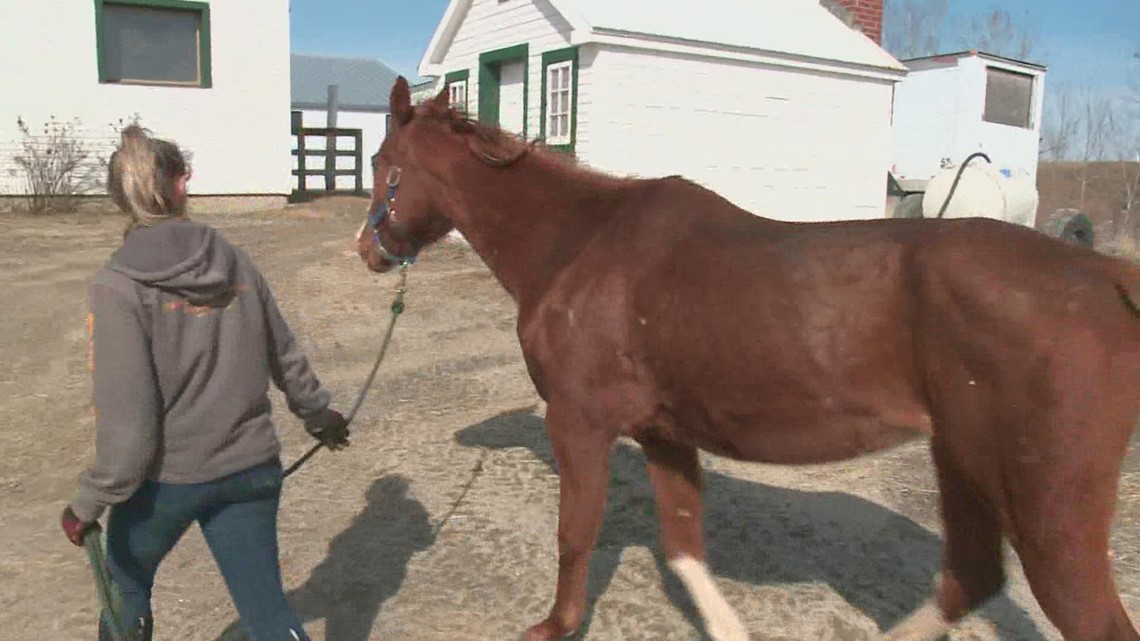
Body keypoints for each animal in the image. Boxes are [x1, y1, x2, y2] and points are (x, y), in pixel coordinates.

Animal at [355, 76, 1140, 641]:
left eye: (381, 163)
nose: (368, 250)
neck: (577, 243)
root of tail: (1105, 275)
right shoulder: (664, 433)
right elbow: (683, 545)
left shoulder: (579, 422)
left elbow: (575, 531)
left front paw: (553, 625)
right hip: (965, 464)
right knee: (969, 578)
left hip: (1047, 511)